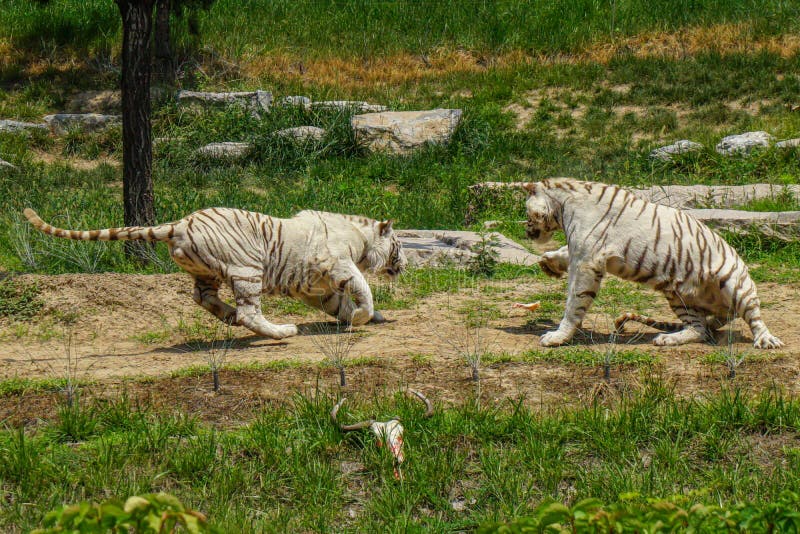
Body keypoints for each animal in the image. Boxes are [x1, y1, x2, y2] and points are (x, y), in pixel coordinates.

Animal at [23, 207, 407, 339]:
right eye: (399, 245)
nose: (405, 264)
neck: (362, 239)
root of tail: (179, 224)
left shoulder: (315, 288)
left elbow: (339, 303)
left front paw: (361, 318)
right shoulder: (336, 264)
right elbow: (361, 288)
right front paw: (364, 315)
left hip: (204, 269)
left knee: (202, 296)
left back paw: (229, 316)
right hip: (247, 268)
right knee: (251, 313)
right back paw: (281, 331)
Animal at [524, 178, 783, 349]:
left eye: (526, 212)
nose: (525, 231)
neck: (563, 206)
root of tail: (722, 313)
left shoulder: (587, 260)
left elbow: (574, 302)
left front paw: (557, 336)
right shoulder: (584, 253)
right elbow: (563, 253)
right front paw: (548, 262)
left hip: (736, 284)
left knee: (753, 318)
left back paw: (766, 340)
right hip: (677, 295)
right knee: (699, 329)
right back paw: (668, 338)